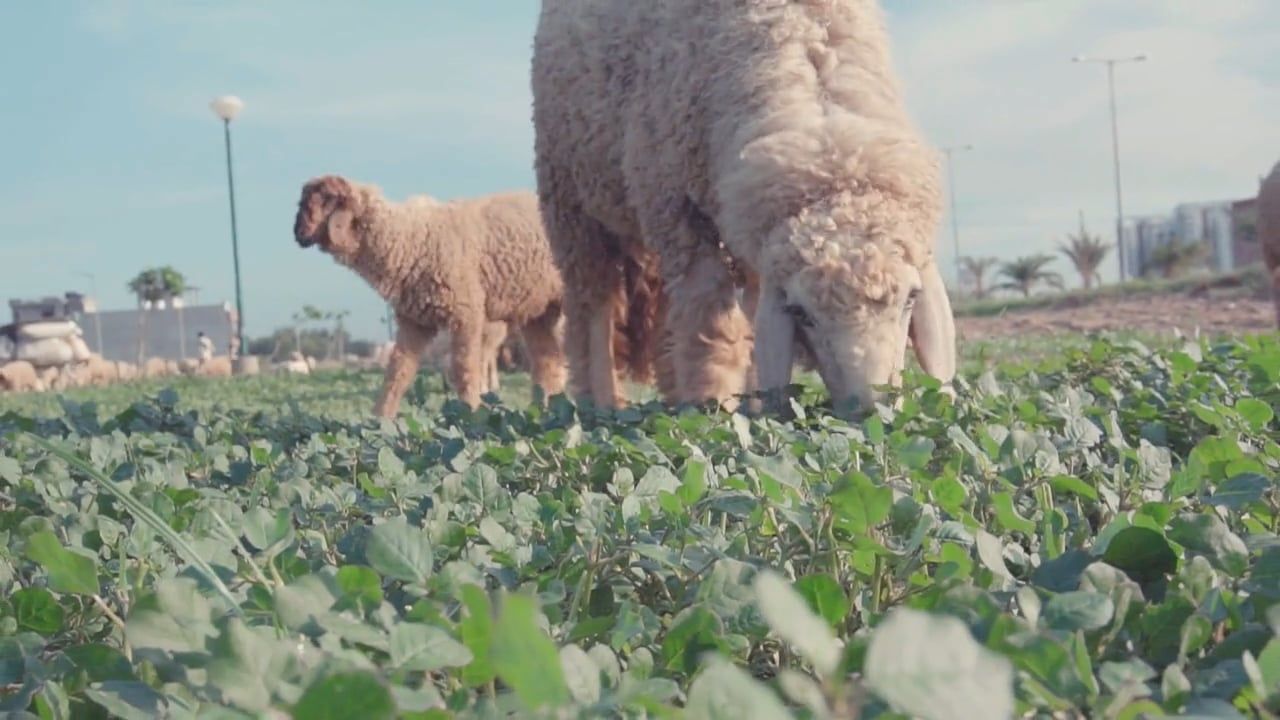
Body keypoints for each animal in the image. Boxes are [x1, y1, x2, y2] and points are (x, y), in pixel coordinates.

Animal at [293, 174, 571, 417]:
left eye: (325, 200)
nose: (298, 233)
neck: (408, 239)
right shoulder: (414, 322)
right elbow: (398, 373)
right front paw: (380, 419)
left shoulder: (467, 312)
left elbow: (463, 370)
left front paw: (471, 414)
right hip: (538, 310)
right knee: (548, 363)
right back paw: (546, 412)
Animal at [532, 0, 956, 412]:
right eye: (800, 313)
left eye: (911, 298)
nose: (873, 410)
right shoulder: (680, 212)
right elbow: (710, 323)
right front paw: (714, 409)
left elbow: (750, 315)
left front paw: (754, 406)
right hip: (571, 200)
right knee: (593, 308)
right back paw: (603, 406)